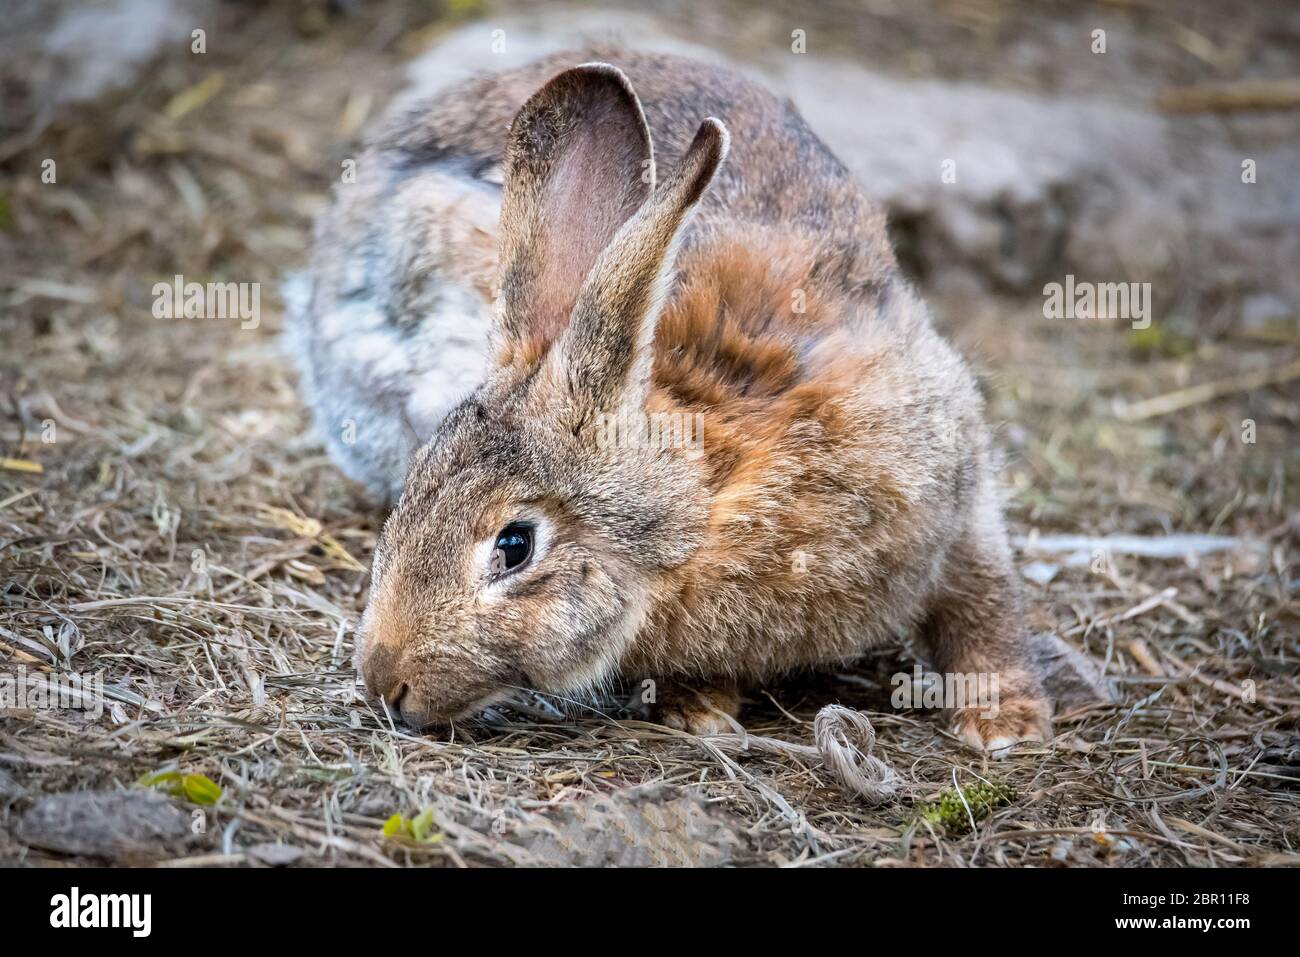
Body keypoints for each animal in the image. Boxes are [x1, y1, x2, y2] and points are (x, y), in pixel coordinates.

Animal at [291, 48, 1053, 753]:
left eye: (514, 545)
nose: (383, 679)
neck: (707, 495)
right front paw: (700, 709)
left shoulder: (954, 479)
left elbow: (983, 597)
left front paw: (1006, 723)